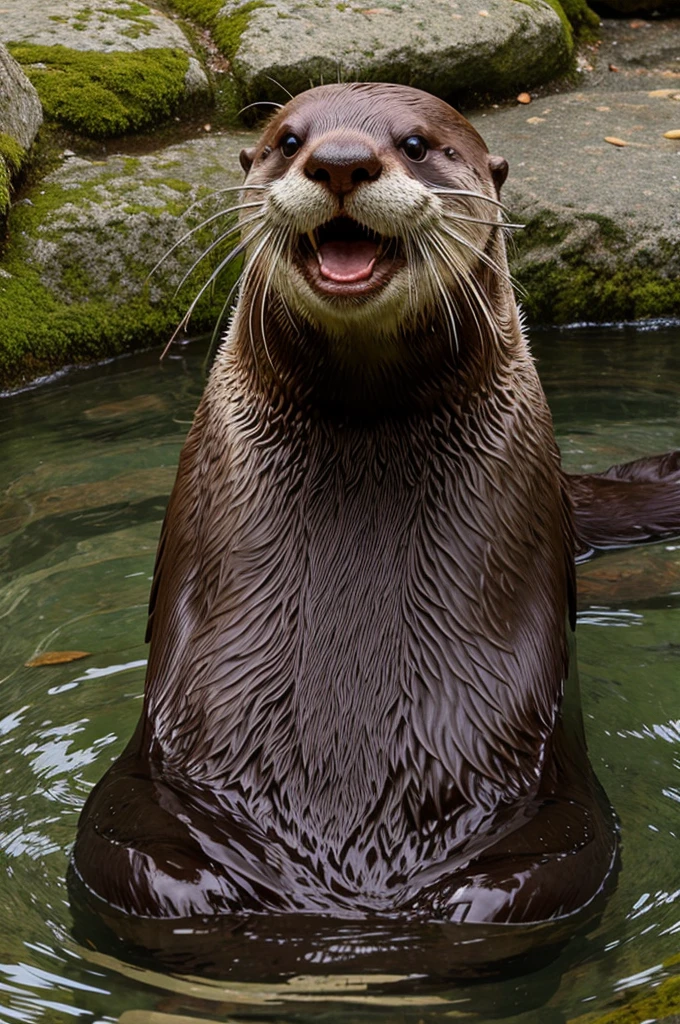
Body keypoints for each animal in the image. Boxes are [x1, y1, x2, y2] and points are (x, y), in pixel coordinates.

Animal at [70, 84, 680, 978]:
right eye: (289, 140)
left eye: (418, 144)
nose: (341, 160)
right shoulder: (149, 787)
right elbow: (144, 862)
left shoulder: (543, 797)